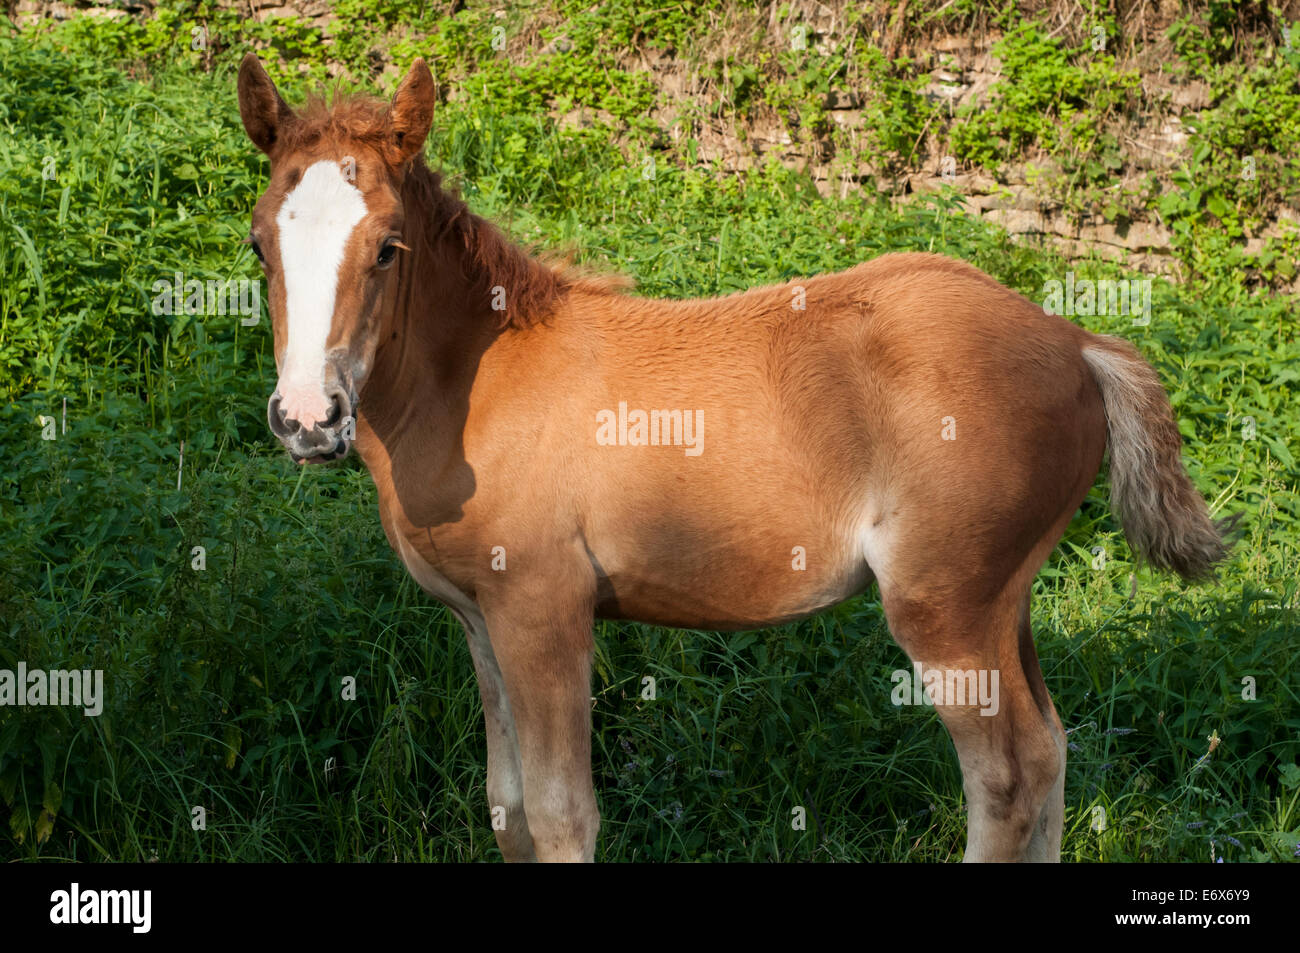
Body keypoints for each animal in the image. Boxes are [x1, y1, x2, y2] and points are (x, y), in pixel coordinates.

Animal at [236, 54, 1237, 862]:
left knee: (1009, 778)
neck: (478, 383)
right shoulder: (479, 619)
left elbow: (562, 815)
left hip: (946, 606)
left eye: (387, 247)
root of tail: (1075, 340)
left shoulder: (544, 605)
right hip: (1005, 599)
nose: (308, 418)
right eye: (259, 242)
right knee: (1055, 751)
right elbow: (508, 809)